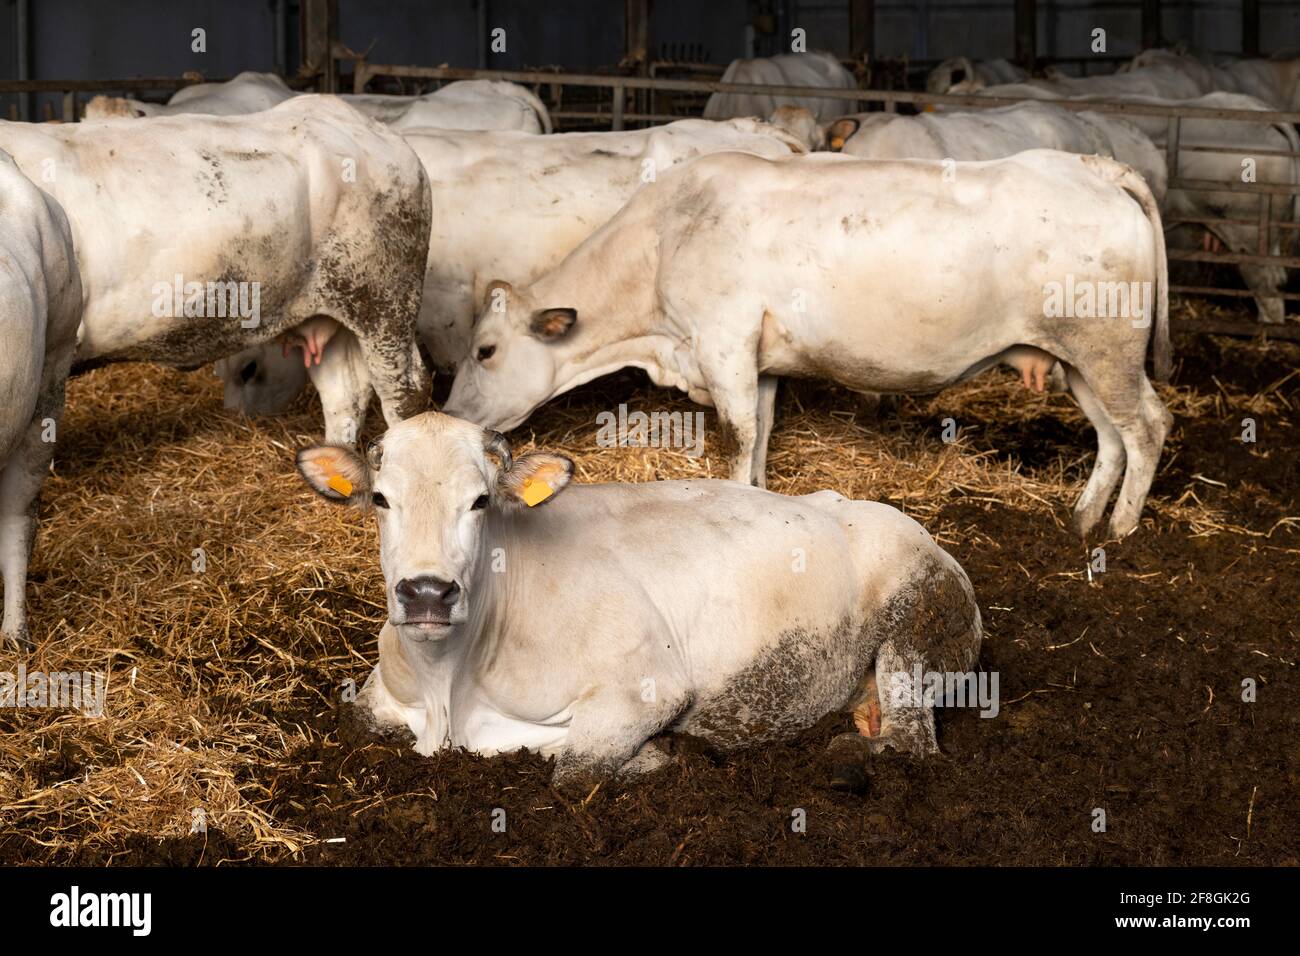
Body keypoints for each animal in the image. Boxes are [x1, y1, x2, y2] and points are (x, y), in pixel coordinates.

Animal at [295, 411, 983, 790]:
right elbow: (354, 716)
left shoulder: (645, 683)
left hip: (918, 627)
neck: (449, 689)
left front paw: (666, 751)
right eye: (380, 498)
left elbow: (573, 772)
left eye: (481, 500)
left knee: (912, 744)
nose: (427, 593)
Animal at [444, 149, 1173, 540]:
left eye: (485, 350)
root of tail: (1091, 166)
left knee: (1146, 427)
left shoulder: (724, 343)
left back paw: (1120, 529)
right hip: (1081, 361)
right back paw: (1082, 518)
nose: (449, 414)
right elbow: (762, 433)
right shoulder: (761, 361)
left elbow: (736, 436)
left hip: (1107, 349)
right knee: (1111, 437)